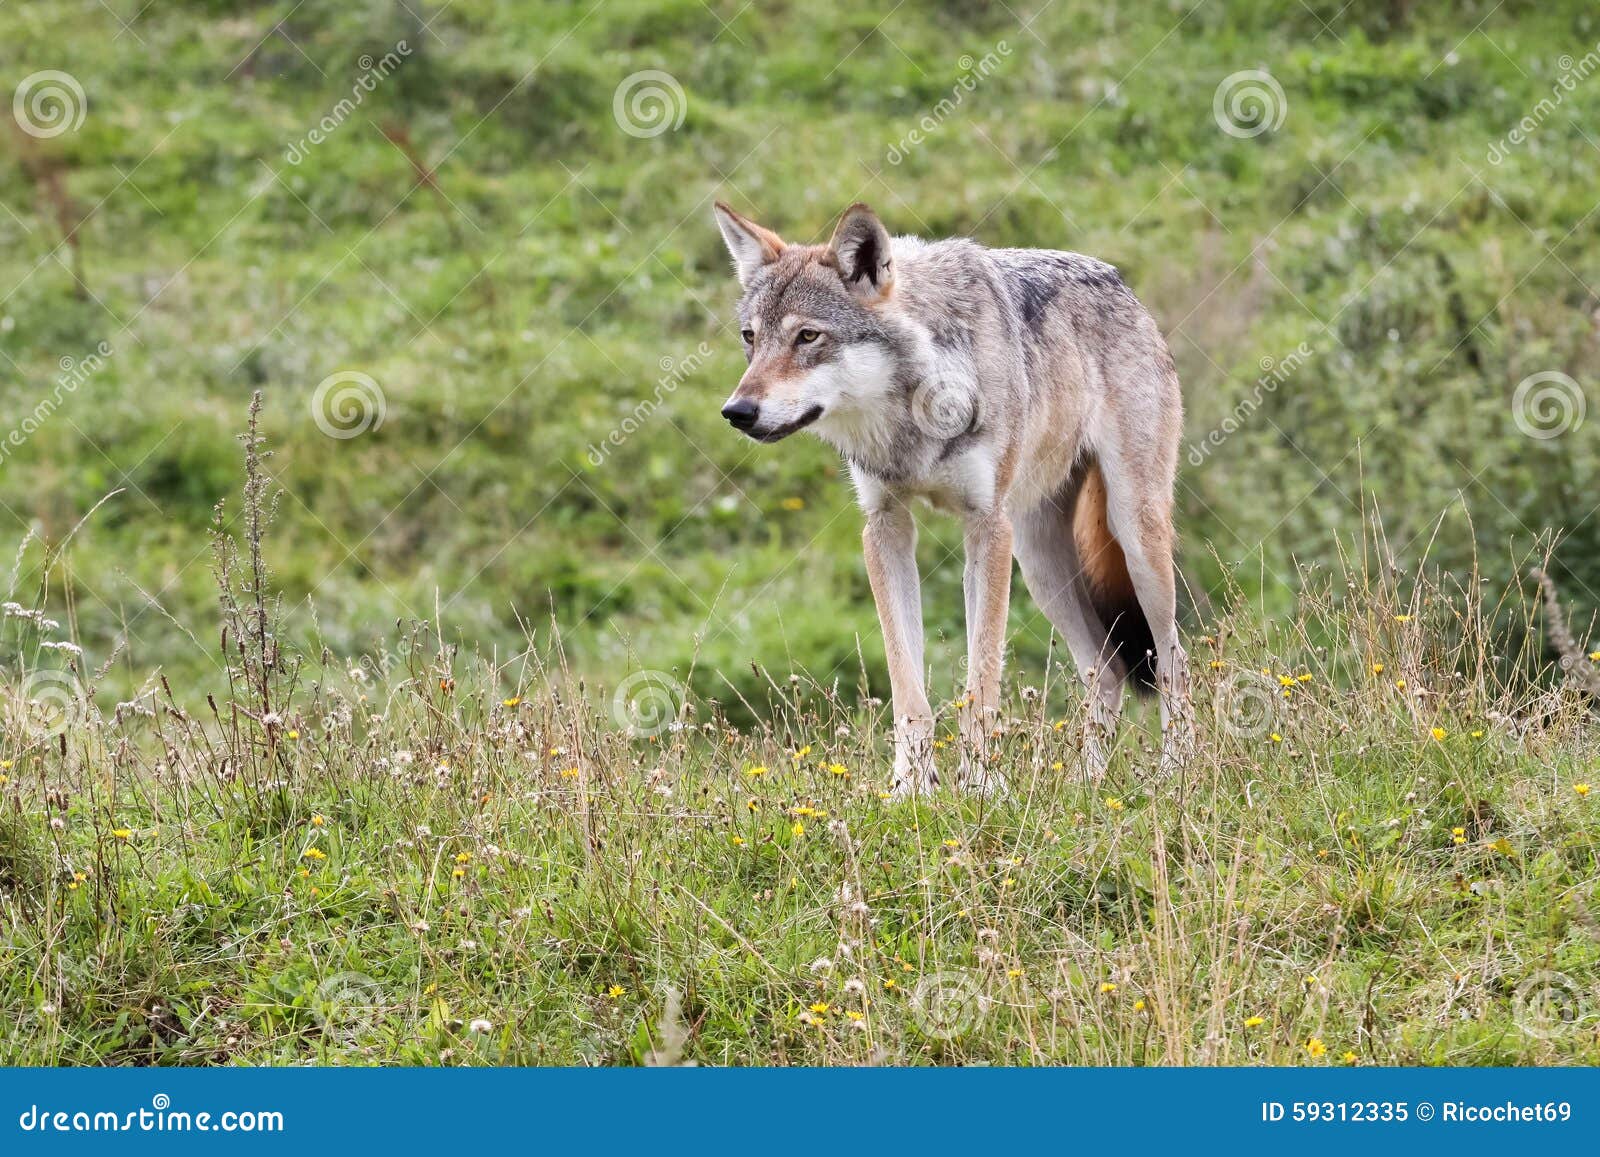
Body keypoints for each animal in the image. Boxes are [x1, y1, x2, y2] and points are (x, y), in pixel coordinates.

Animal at [712, 201, 1193, 796]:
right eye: (750, 338)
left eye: (807, 336)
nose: (737, 411)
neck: (913, 415)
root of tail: (1119, 281)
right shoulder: (886, 527)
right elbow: (907, 685)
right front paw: (909, 788)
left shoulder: (985, 526)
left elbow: (980, 680)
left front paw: (981, 786)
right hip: (1040, 566)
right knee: (1107, 670)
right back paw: (1085, 785)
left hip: (1132, 538)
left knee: (1174, 661)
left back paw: (1173, 774)